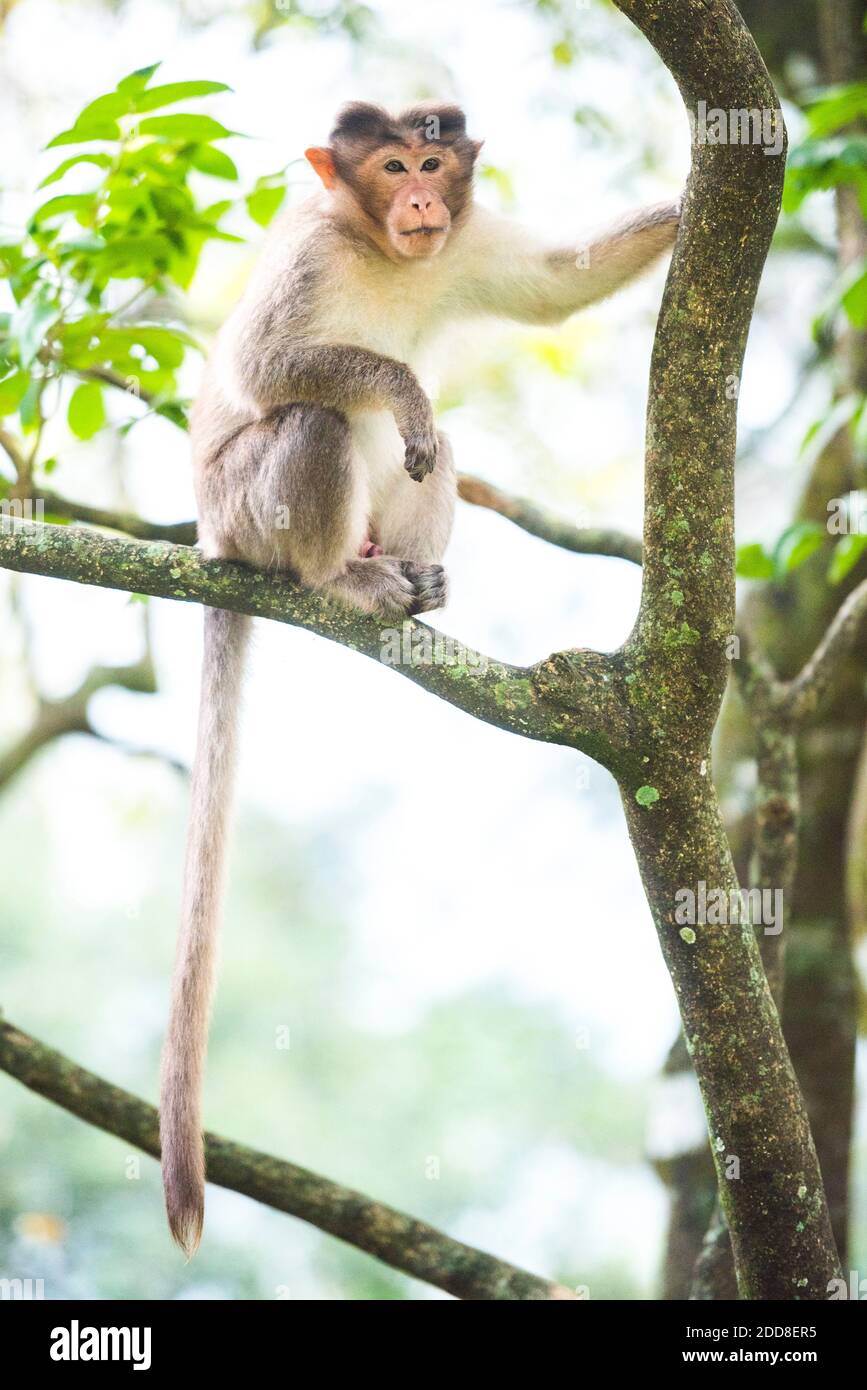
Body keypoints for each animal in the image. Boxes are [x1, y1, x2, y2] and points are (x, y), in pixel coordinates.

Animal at [159, 99, 681, 1256]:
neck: (378, 249)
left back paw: (414, 580)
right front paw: (393, 387)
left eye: (436, 163)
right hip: (245, 505)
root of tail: (208, 536)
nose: (420, 200)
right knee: (327, 419)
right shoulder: (308, 255)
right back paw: (338, 577)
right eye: (392, 162)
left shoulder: (466, 249)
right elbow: (270, 367)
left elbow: (555, 283)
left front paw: (699, 194)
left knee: (433, 456)